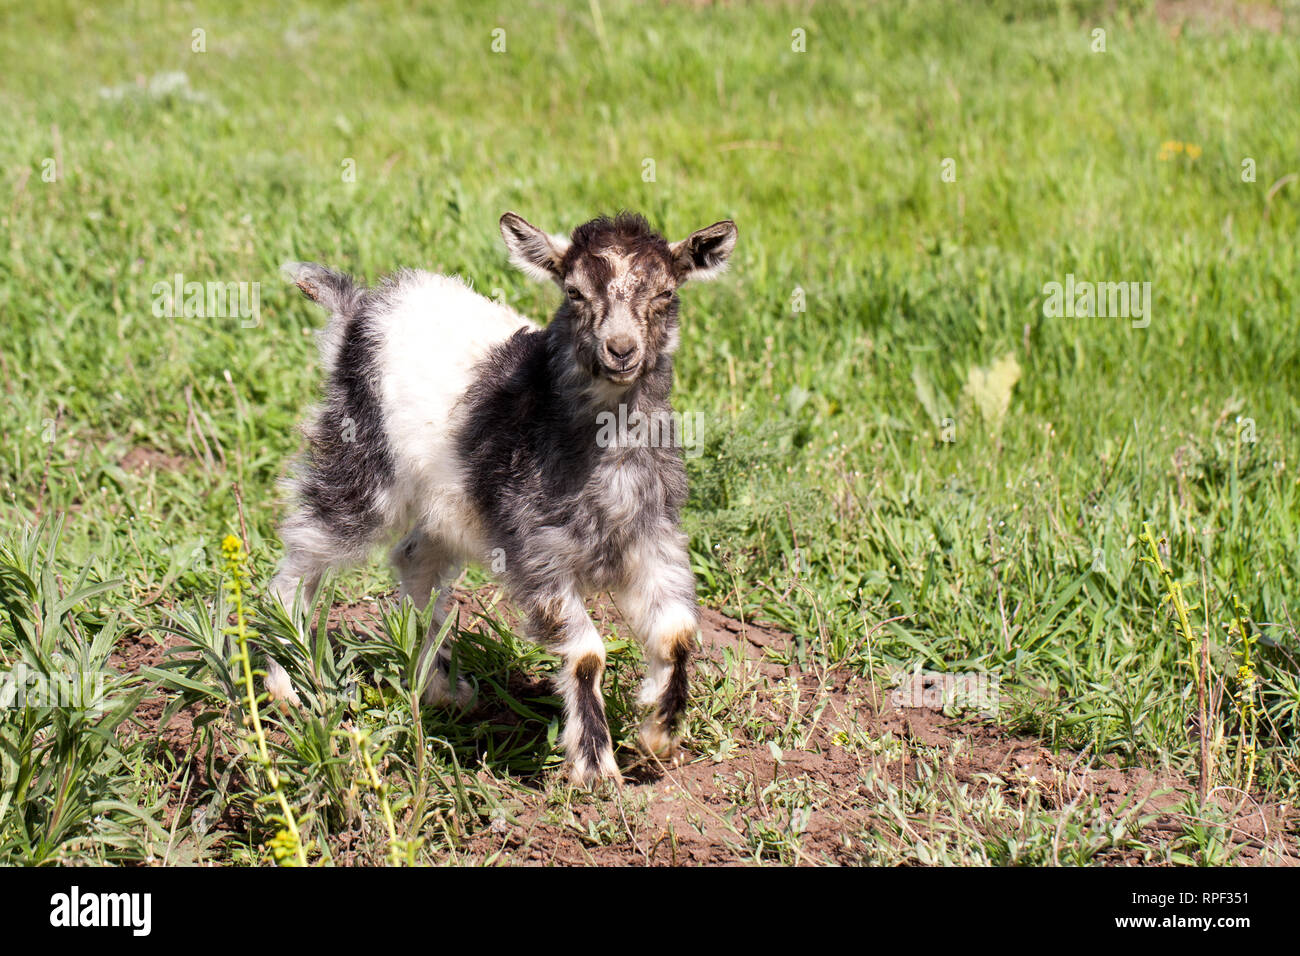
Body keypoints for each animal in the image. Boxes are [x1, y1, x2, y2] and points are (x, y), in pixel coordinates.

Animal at [269, 211, 738, 784]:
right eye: (574, 291)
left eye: (667, 292)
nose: (621, 350)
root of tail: (359, 308)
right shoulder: (537, 552)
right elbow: (586, 654)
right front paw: (596, 767)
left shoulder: (652, 539)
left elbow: (677, 636)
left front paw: (657, 737)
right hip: (361, 467)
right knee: (305, 551)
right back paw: (285, 682)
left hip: (452, 503)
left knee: (413, 558)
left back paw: (442, 687)